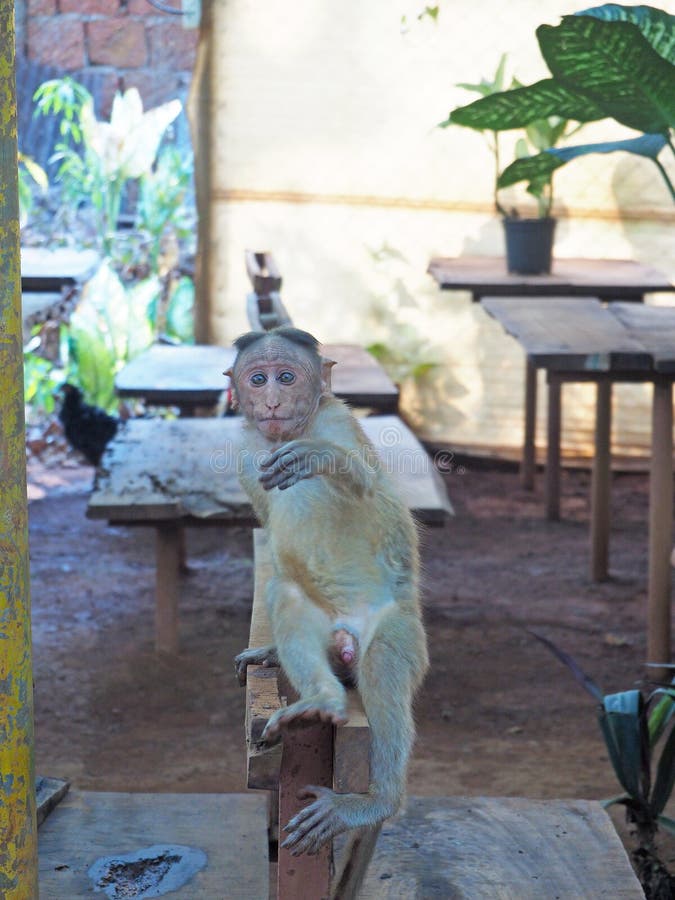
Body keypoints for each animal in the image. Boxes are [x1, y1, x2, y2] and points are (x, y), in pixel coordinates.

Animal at [230, 326, 428, 899]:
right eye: (258, 379)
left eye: (288, 376)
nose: (274, 401)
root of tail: (345, 639)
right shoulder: (247, 454)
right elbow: (270, 528)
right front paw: (269, 650)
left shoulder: (336, 423)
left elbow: (367, 485)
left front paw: (320, 460)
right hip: (326, 633)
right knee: (289, 593)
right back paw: (319, 699)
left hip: (397, 632)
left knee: (382, 667)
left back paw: (380, 801)